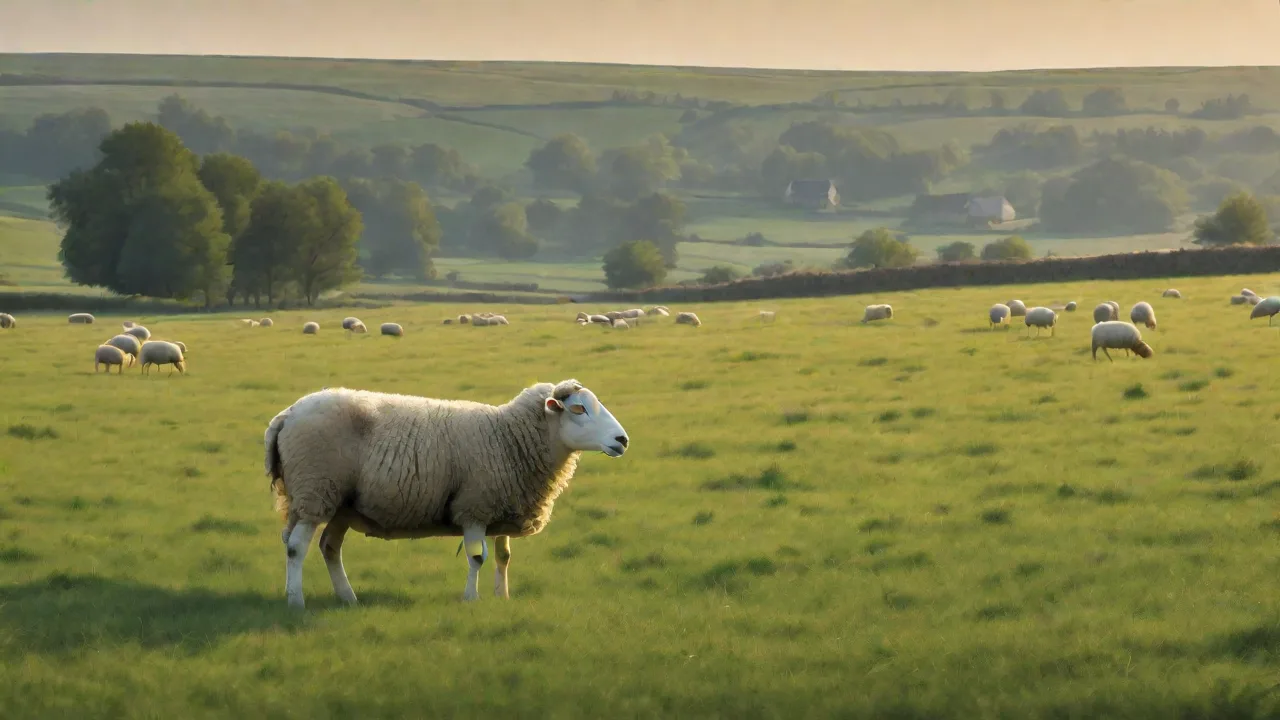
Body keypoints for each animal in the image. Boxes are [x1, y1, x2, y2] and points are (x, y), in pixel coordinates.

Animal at [263, 378, 630, 607]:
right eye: (579, 409)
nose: (622, 440)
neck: (508, 437)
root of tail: (286, 415)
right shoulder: (475, 507)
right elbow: (477, 557)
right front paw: (471, 599)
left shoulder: (499, 505)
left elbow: (503, 557)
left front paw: (503, 597)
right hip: (314, 490)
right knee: (296, 547)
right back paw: (296, 601)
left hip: (341, 503)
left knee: (329, 547)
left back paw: (347, 598)